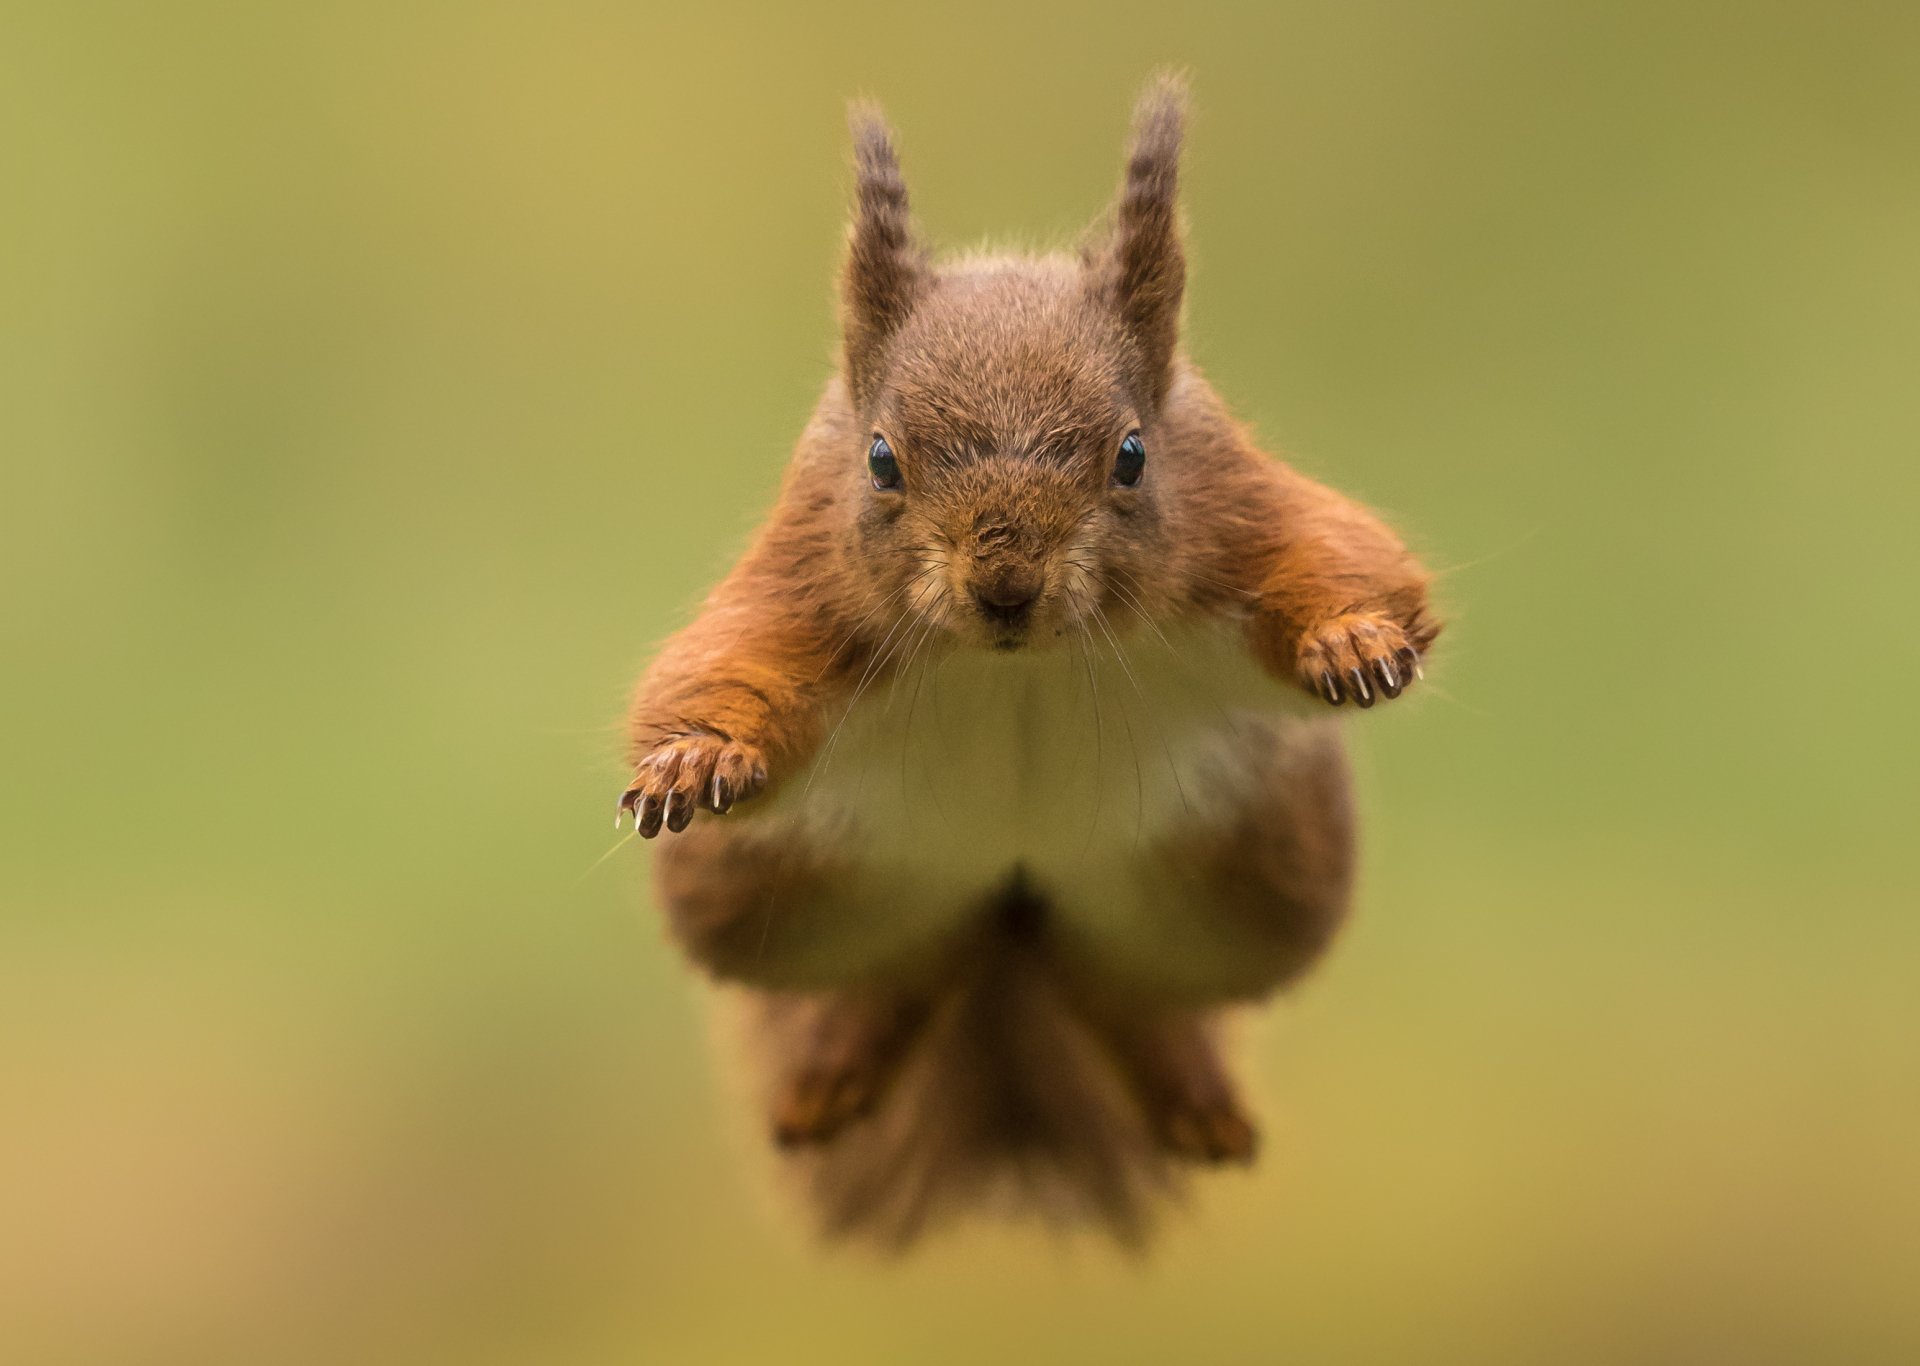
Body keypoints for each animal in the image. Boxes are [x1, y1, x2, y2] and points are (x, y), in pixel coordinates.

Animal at [617, 74, 1439, 1251]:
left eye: (1133, 454)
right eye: (881, 460)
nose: (1005, 584)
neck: (1015, 663)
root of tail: (1009, 904)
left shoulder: (1236, 504)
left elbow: (1353, 560)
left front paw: (1353, 639)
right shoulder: (802, 575)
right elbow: (721, 663)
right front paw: (697, 757)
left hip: (1260, 876)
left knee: (1105, 982)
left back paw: (1184, 1094)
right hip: (762, 889)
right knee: (915, 966)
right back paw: (839, 1068)